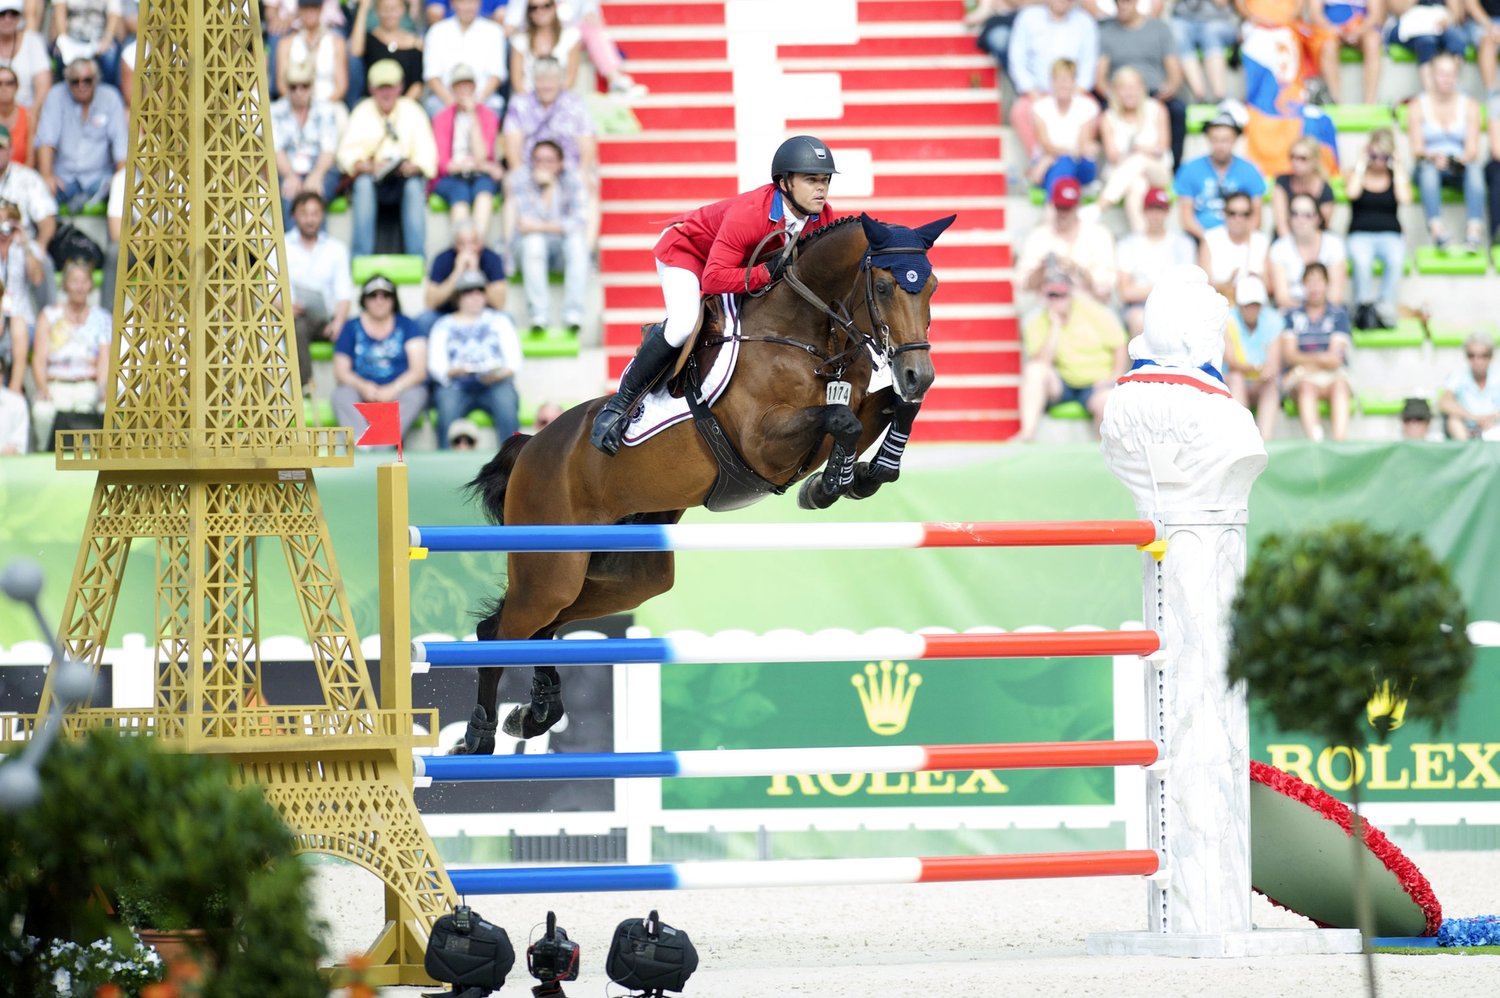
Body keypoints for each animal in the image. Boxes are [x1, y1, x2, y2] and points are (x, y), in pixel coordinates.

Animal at [451, 212, 956, 754]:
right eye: (882, 286)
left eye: (931, 286)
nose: (918, 372)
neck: (805, 333)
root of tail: (530, 446)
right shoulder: (763, 441)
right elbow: (842, 419)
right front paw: (828, 487)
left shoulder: (854, 403)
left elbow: (892, 407)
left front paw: (867, 475)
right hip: (549, 567)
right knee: (501, 630)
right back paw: (476, 738)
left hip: (627, 574)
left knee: (546, 625)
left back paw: (535, 715)